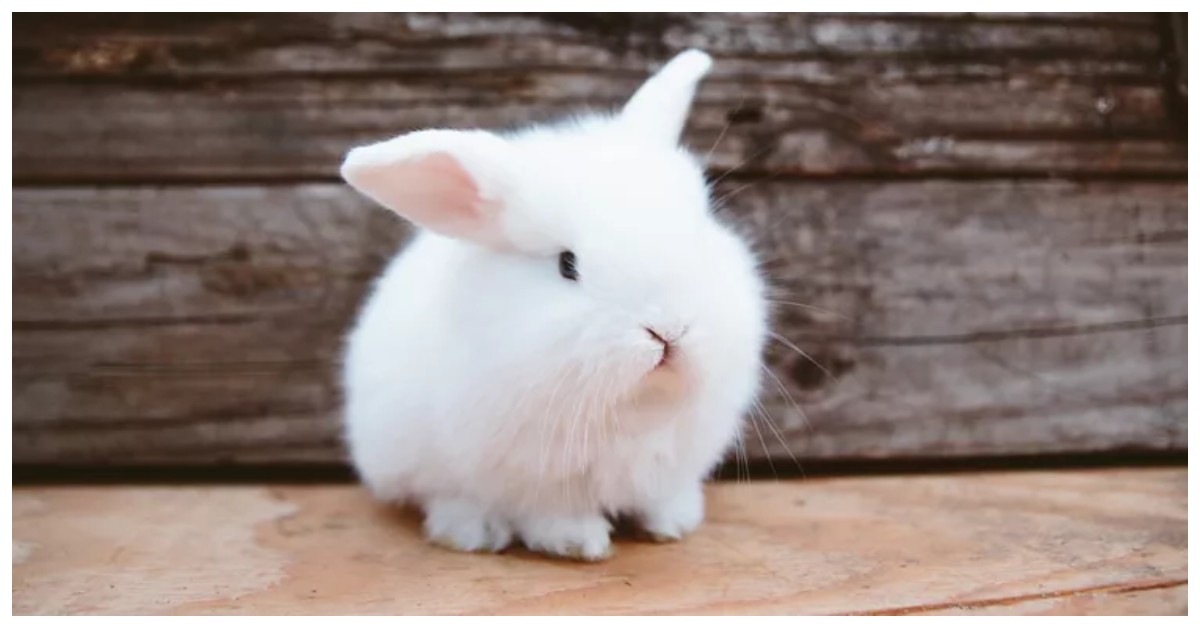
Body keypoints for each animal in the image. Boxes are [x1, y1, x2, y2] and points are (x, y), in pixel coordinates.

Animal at [339, 49, 767, 561]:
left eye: (698, 234)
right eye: (568, 264)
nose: (668, 330)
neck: (634, 404)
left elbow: (661, 497)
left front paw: (673, 524)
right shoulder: (534, 476)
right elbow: (550, 515)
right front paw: (578, 543)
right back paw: (472, 532)